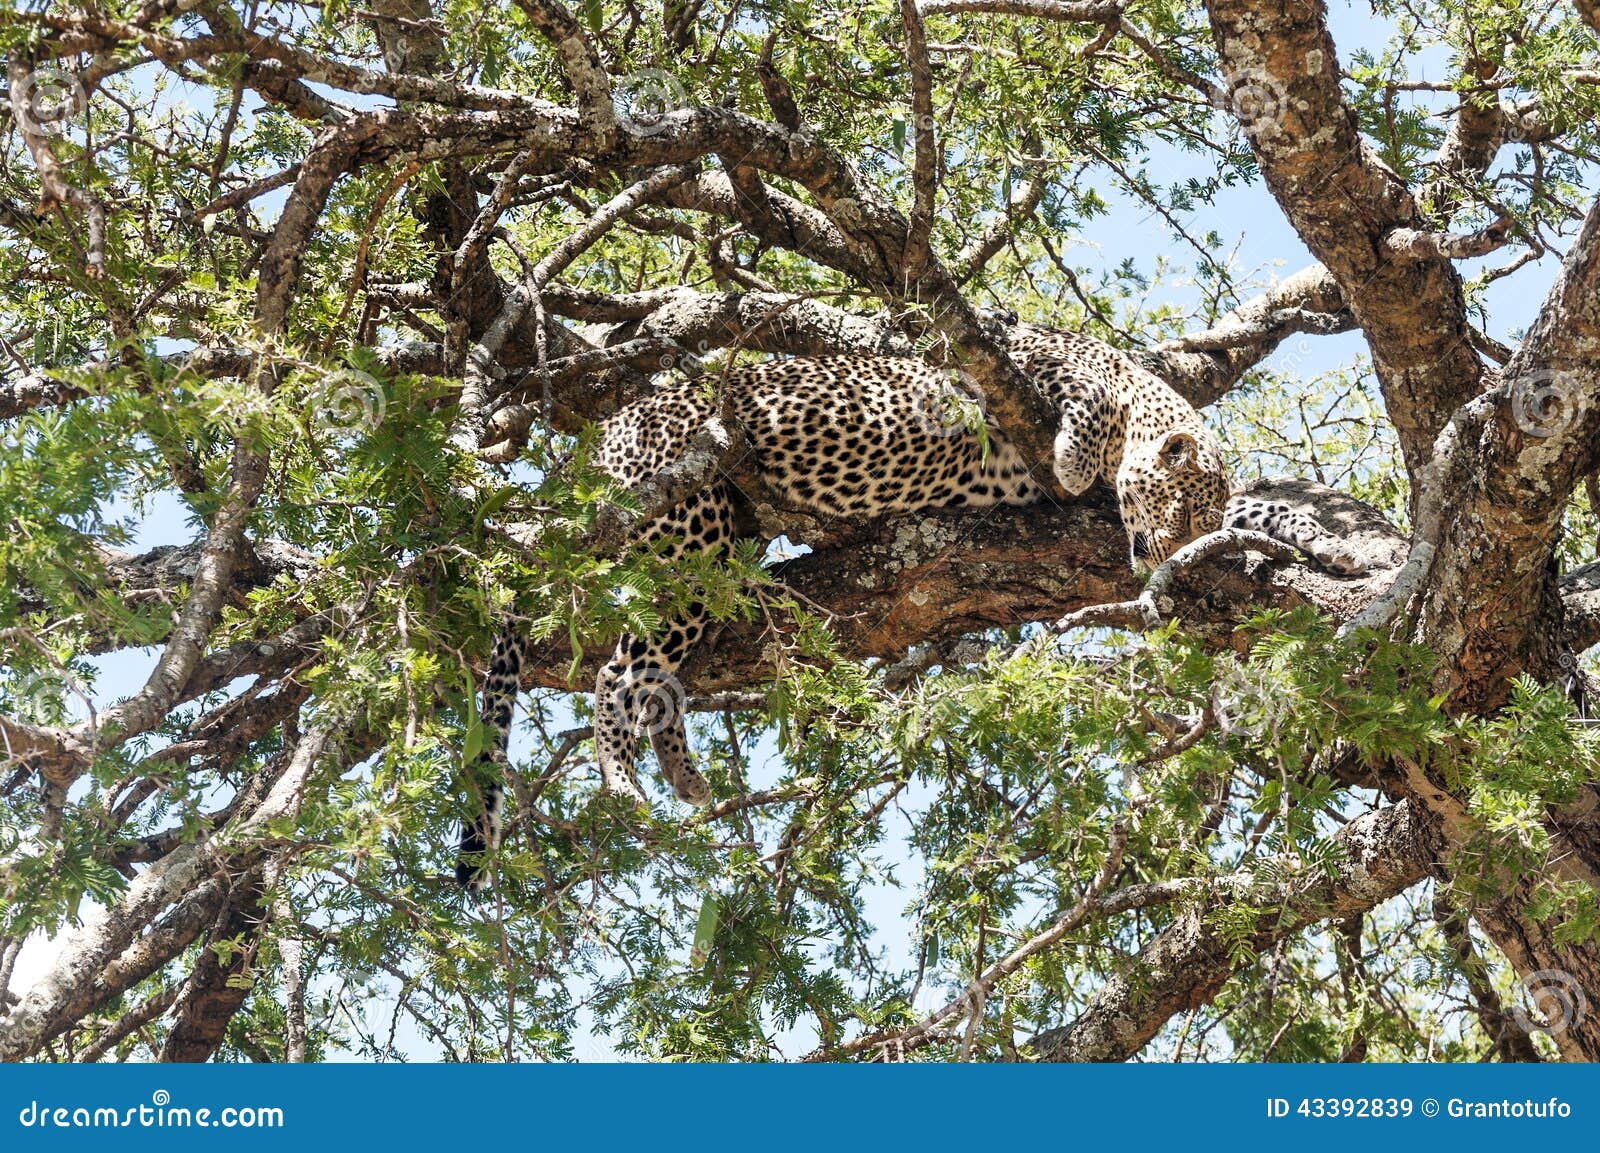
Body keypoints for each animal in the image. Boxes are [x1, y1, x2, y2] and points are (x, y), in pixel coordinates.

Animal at [454, 325, 1364, 890]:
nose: (1169, 553)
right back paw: (623, 781)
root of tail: (592, 446)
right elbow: (1076, 394)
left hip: (707, 551)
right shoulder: (1023, 367)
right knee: (616, 674)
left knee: (655, 677)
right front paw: (1079, 450)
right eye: (1182, 508)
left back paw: (682, 775)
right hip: (687, 517)